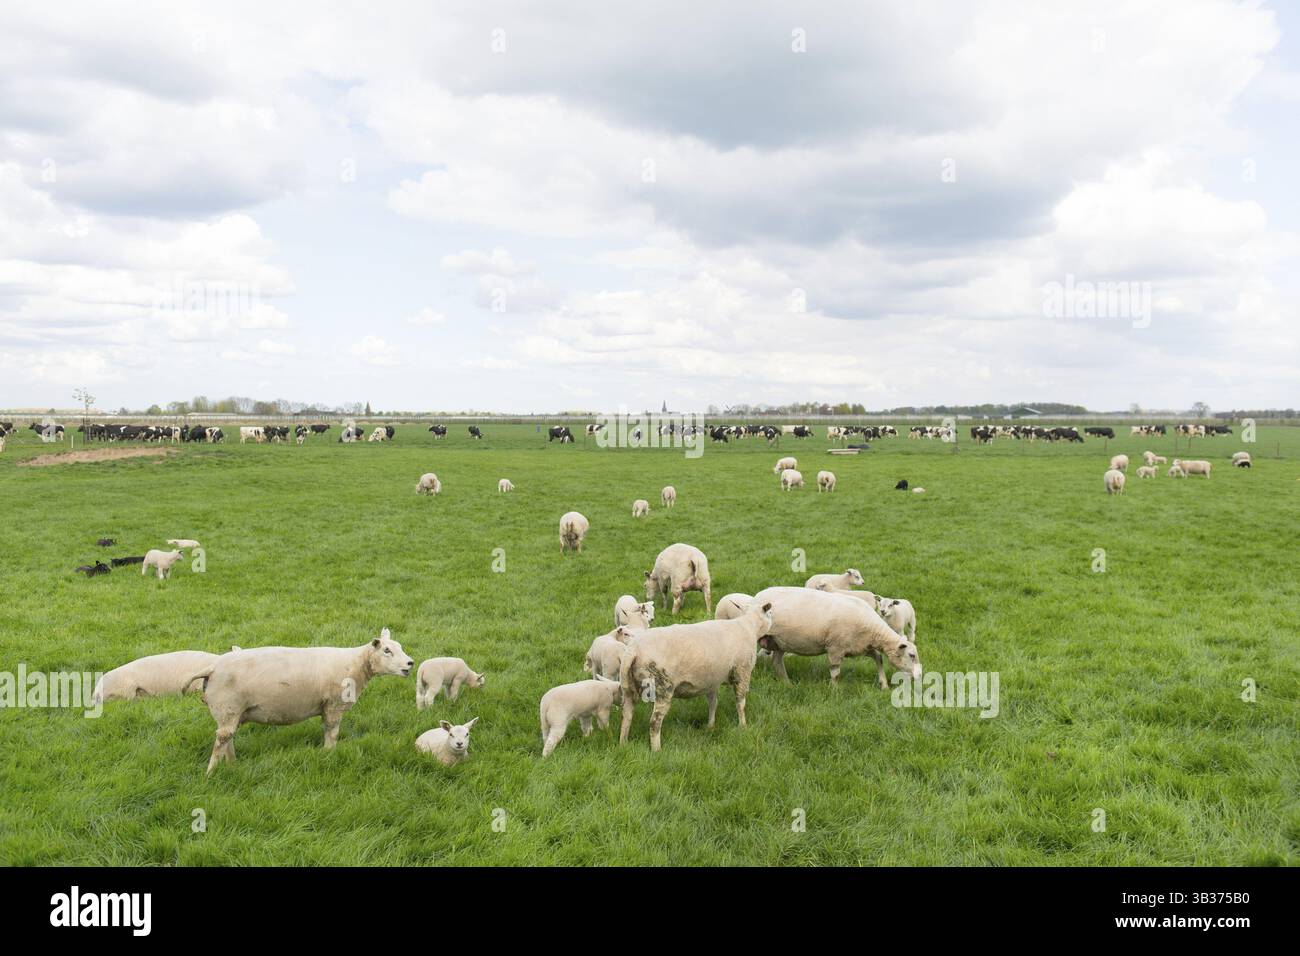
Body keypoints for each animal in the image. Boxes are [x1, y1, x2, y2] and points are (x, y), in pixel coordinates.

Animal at [190, 628, 414, 774]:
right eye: (387, 650)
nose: (410, 663)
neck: (356, 664)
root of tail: (212, 667)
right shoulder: (334, 705)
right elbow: (332, 733)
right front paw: (329, 755)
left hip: (229, 713)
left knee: (227, 738)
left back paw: (232, 765)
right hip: (228, 707)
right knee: (222, 739)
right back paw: (211, 773)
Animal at [618, 598, 774, 751]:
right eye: (770, 613)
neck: (748, 626)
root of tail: (634, 650)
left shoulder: (712, 680)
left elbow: (713, 702)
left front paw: (710, 725)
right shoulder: (742, 672)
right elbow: (740, 703)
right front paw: (743, 726)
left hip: (628, 686)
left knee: (627, 715)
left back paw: (623, 743)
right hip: (663, 686)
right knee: (655, 722)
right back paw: (657, 750)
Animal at [751, 586, 921, 688]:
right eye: (911, 655)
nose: (919, 675)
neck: (873, 629)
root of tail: (758, 595)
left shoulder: (860, 646)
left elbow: (878, 658)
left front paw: (884, 685)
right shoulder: (835, 648)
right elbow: (835, 671)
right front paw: (834, 690)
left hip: (780, 641)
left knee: (777, 661)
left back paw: (787, 683)